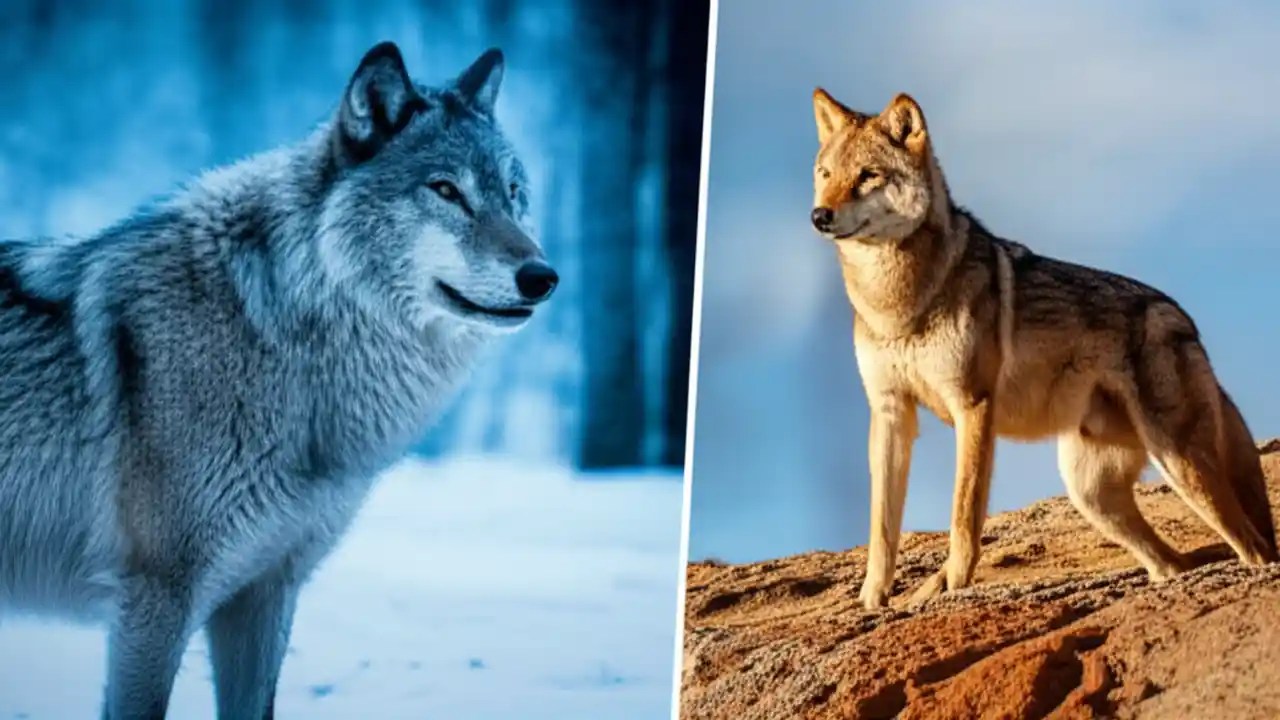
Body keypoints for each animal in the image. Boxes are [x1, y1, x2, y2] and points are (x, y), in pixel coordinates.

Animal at [0, 41, 557, 718]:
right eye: (446, 190)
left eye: (513, 192)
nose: (543, 276)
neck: (270, 326)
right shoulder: (155, 597)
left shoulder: (265, 591)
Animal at [809, 88, 1277, 611]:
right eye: (825, 174)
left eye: (867, 175)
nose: (820, 216)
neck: (895, 303)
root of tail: (1184, 319)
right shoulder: (890, 412)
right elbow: (882, 527)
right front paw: (873, 600)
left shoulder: (972, 406)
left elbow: (964, 518)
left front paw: (952, 586)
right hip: (1092, 495)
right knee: (1171, 563)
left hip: (1180, 467)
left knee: (1254, 548)